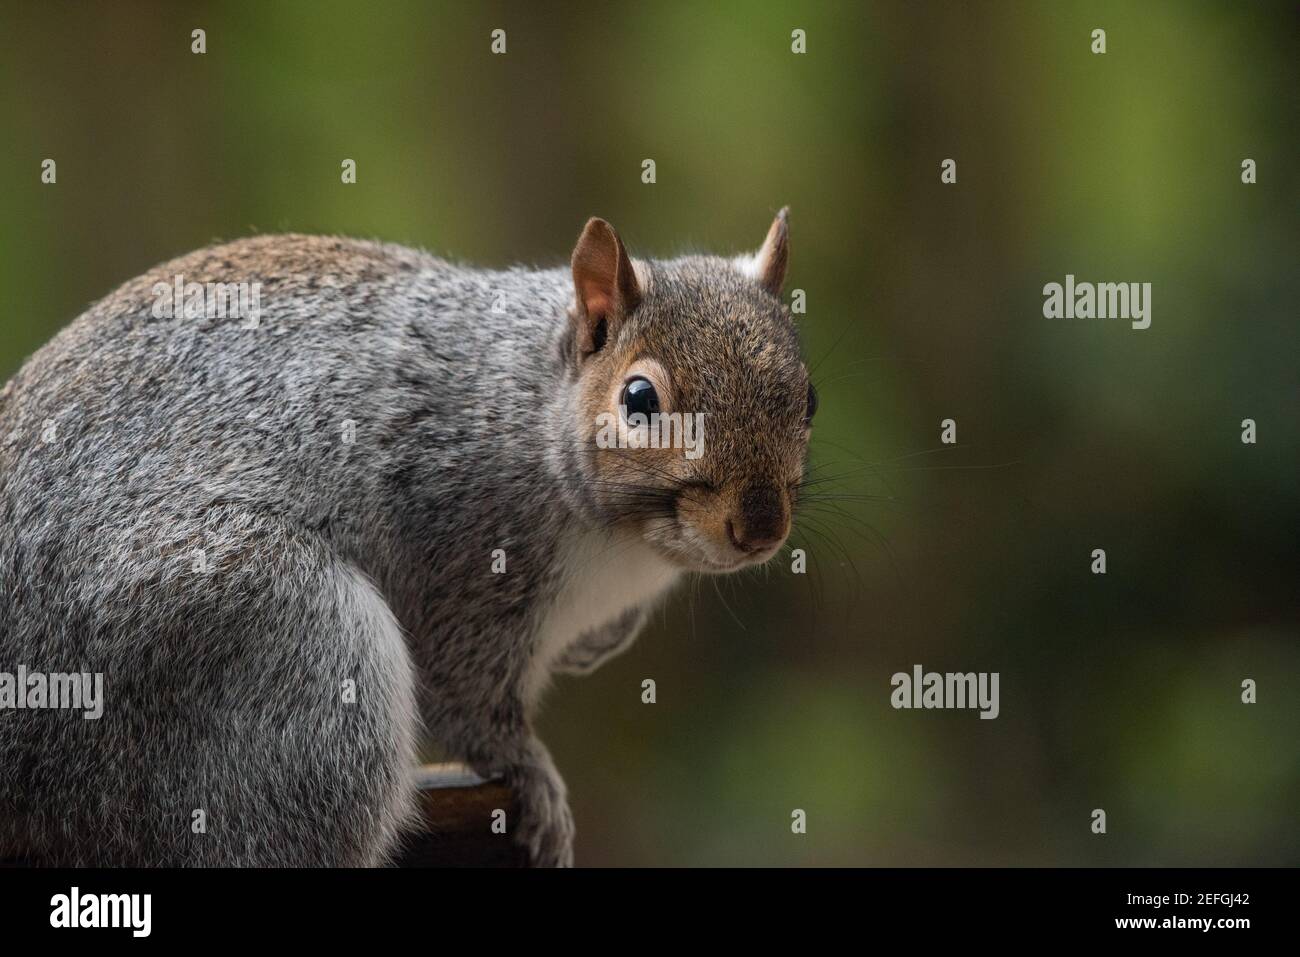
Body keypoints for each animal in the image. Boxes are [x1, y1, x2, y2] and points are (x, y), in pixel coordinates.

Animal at [0, 209, 815, 866]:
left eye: (809, 395)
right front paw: (536, 783)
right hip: (285, 644)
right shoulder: (461, 552)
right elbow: (471, 704)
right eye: (639, 399)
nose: (760, 528)